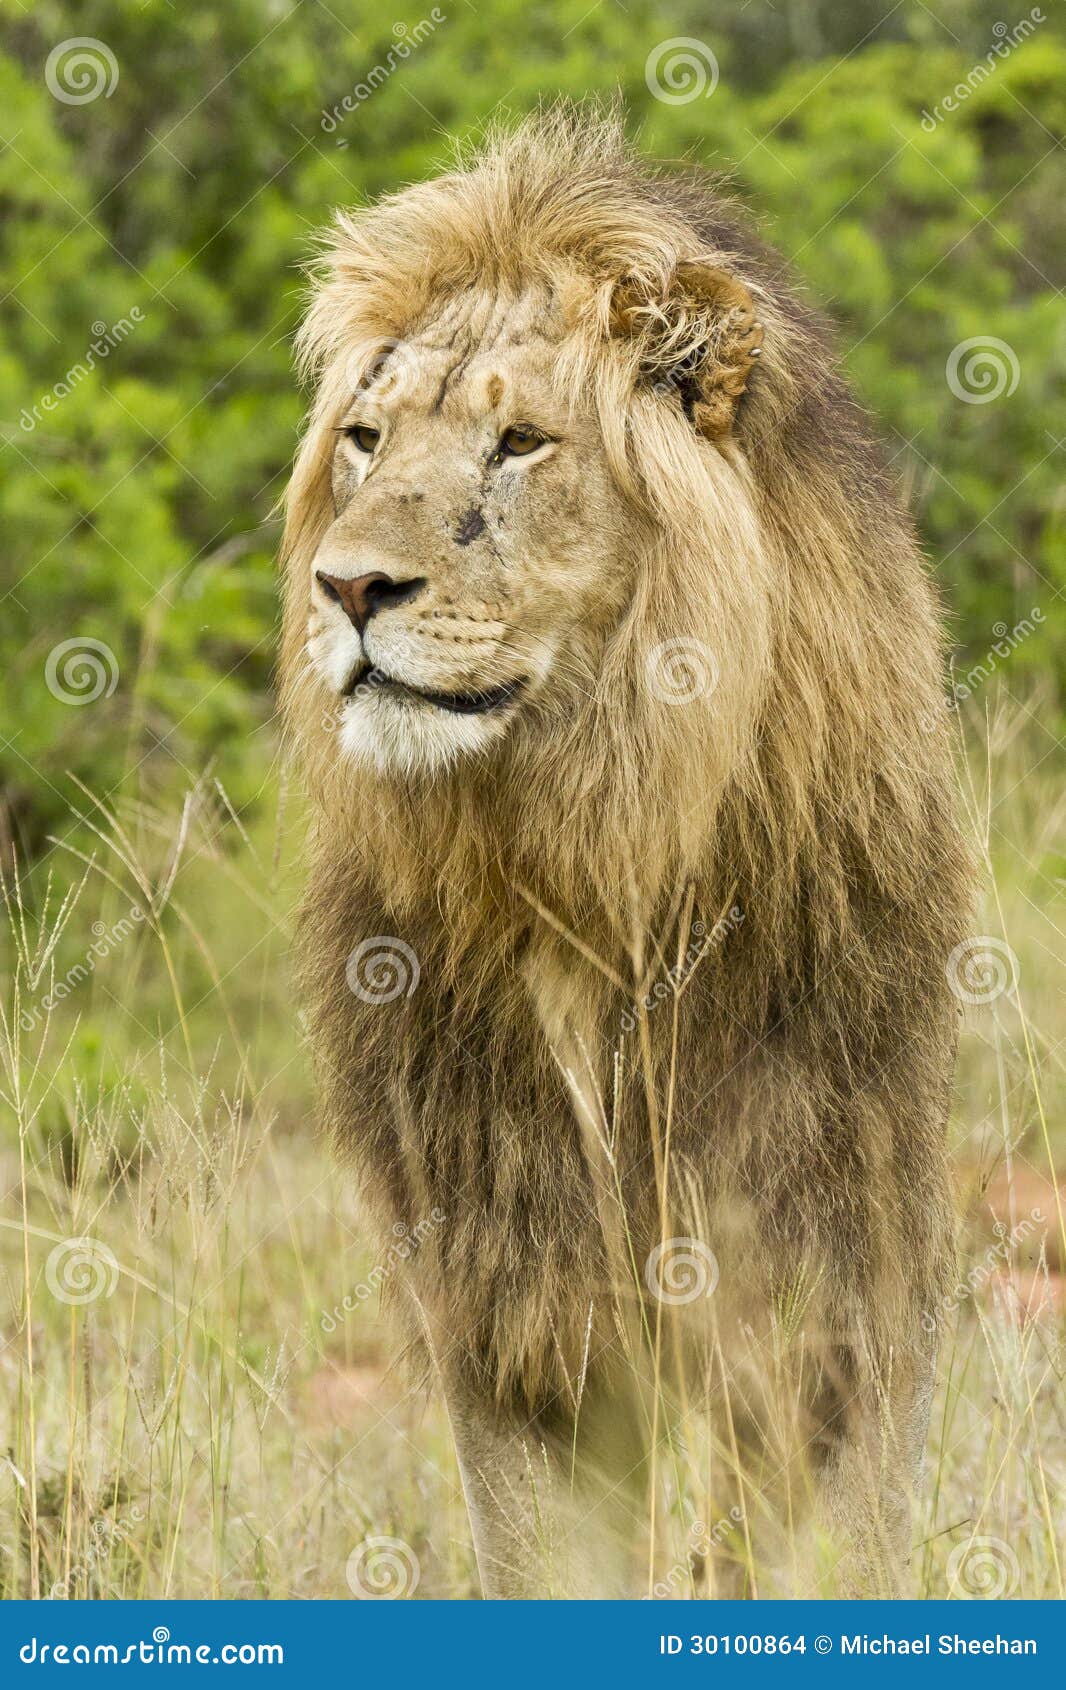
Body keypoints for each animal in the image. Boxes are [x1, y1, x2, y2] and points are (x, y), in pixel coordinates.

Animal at [280, 109, 971, 1599]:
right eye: (364, 439)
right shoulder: (503, 1282)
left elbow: (841, 1540)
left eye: (519, 444)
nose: (347, 587)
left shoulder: (836, 1244)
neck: (579, 859)